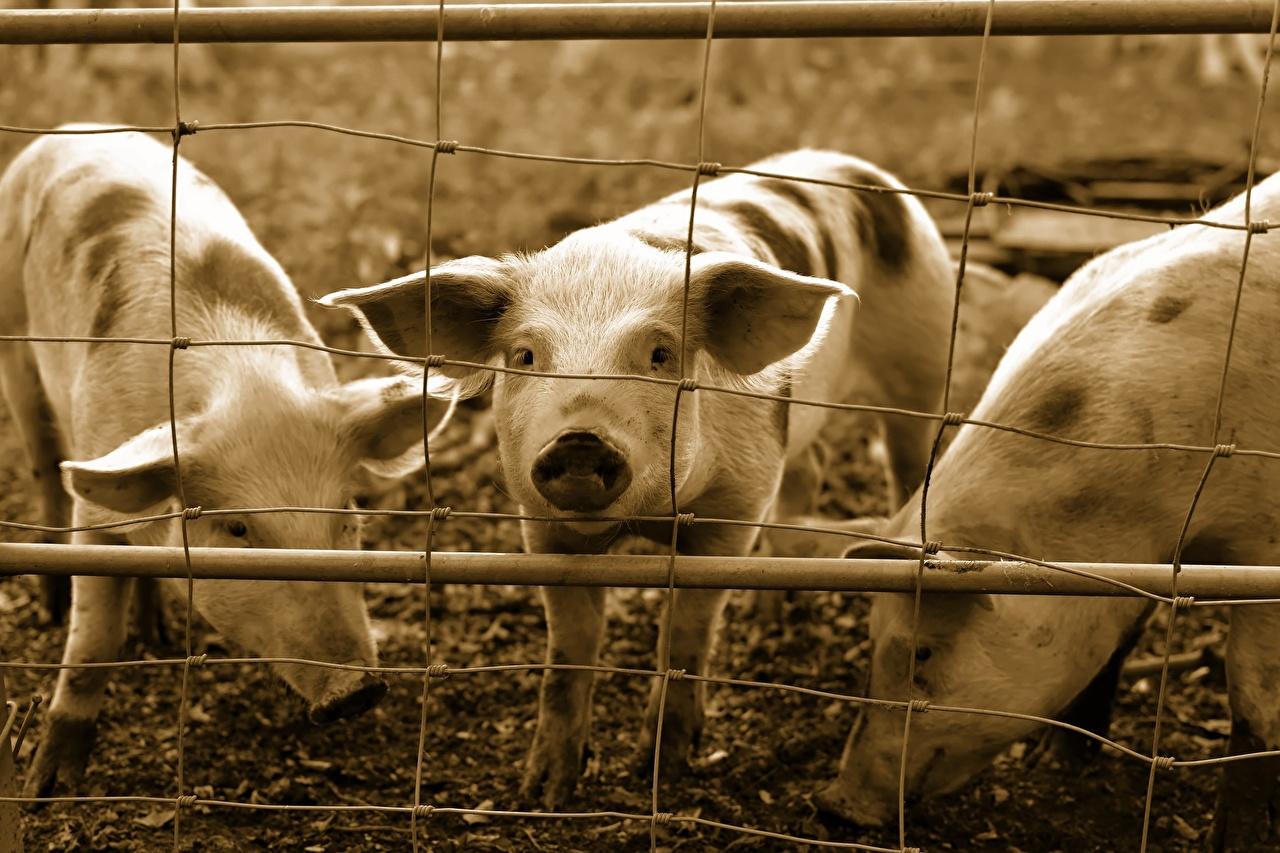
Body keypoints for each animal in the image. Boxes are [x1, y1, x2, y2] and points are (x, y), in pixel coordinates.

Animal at [0, 126, 451, 796]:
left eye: (346, 513)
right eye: (237, 528)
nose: (356, 691)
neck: (244, 382)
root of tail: (68, 130)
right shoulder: (95, 493)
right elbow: (92, 640)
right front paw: (46, 790)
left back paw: (157, 633)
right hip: (15, 345)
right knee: (42, 466)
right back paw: (54, 600)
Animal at [320, 148, 956, 806]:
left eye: (660, 355)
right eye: (525, 356)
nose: (578, 440)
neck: (642, 522)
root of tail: (849, 164)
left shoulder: (735, 503)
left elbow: (686, 635)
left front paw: (663, 770)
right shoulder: (540, 528)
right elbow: (569, 649)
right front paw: (544, 792)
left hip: (923, 363)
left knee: (908, 465)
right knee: (811, 468)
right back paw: (766, 614)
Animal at [812, 171, 1280, 849]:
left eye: (923, 651)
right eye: (872, 640)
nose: (834, 806)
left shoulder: (1265, 550)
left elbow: (1252, 693)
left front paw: (1234, 840)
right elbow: (1119, 636)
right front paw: (1059, 762)